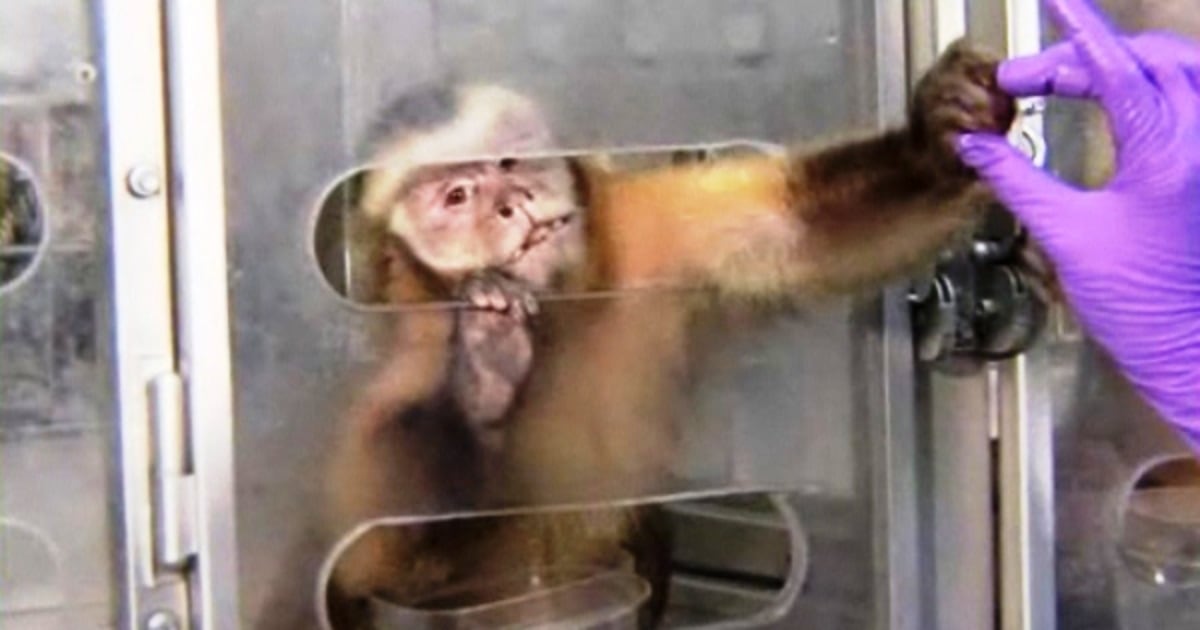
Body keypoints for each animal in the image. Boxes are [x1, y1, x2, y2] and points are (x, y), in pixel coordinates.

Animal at [318, 39, 1016, 629]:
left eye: (511, 161)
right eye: (457, 196)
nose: (510, 202)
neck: (563, 308)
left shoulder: (652, 232)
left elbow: (807, 227)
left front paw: (940, 134)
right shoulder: (412, 354)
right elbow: (390, 575)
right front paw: (487, 371)